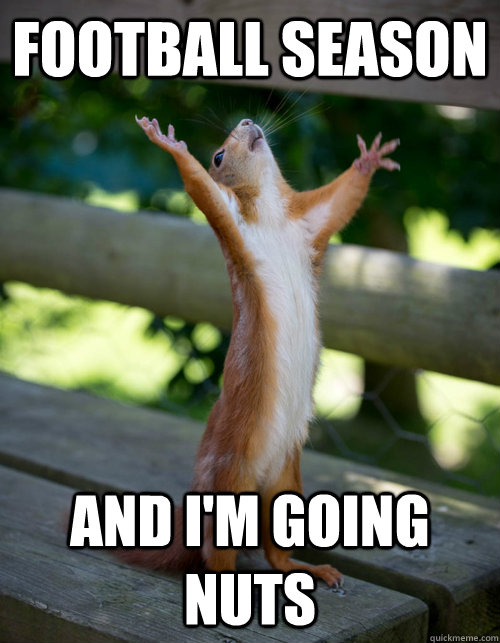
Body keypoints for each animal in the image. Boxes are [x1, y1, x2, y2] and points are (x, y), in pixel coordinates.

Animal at [119, 115, 400, 586]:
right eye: (217, 155)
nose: (248, 121)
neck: (269, 211)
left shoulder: (309, 223)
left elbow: (341, 200)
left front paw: (368, 160)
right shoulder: (232, 221)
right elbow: (200, 188)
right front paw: (171, 145)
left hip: (286, 487)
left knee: (275, 553)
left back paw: (309, 568)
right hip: (229, 479)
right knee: (214, 554)